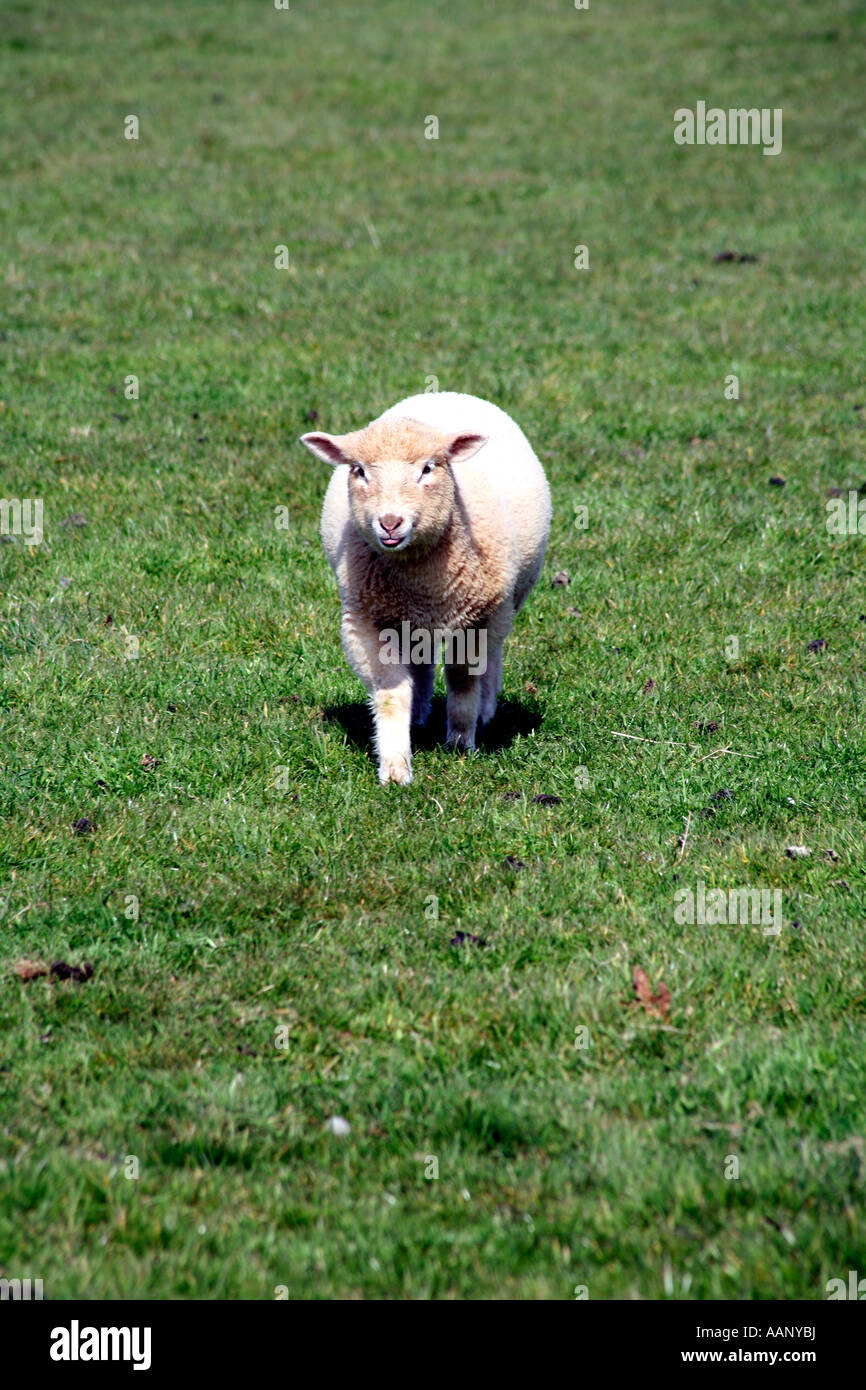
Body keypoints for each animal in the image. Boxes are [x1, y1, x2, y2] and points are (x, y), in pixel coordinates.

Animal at [300, 391, 551, 785]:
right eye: (359, 470)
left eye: (428, 469)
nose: (390, 523)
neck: (421, 580)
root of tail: (443, 393)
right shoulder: (367, 621)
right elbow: (391, 694)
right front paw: (395, 768)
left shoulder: (477, 618)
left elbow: (463, 679)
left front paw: (461, 742)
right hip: (408, 620)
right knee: (420, 665)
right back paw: (418, 716)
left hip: (508, 600)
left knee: (493, 656)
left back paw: (485, 709)